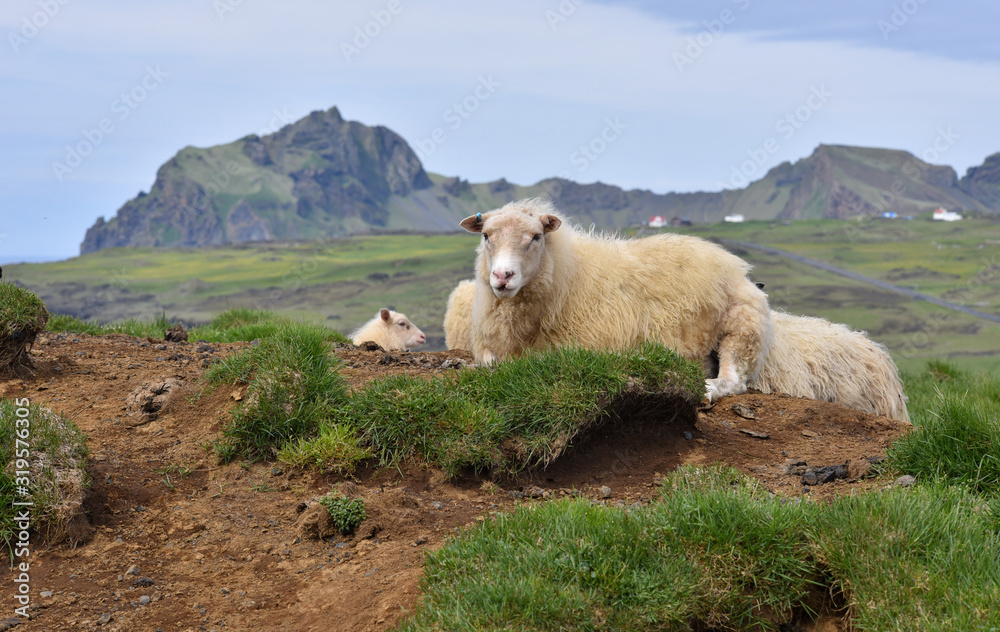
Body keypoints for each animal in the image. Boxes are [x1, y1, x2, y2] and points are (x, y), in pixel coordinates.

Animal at [459, 198, 774, 400]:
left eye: (536, 236)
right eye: (486, 236)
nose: (502, 276)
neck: (566, 273)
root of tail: (734, 265)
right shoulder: (488, 345)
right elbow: (490, 362)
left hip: (741, 327)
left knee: (735, 381)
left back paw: (707, 388)